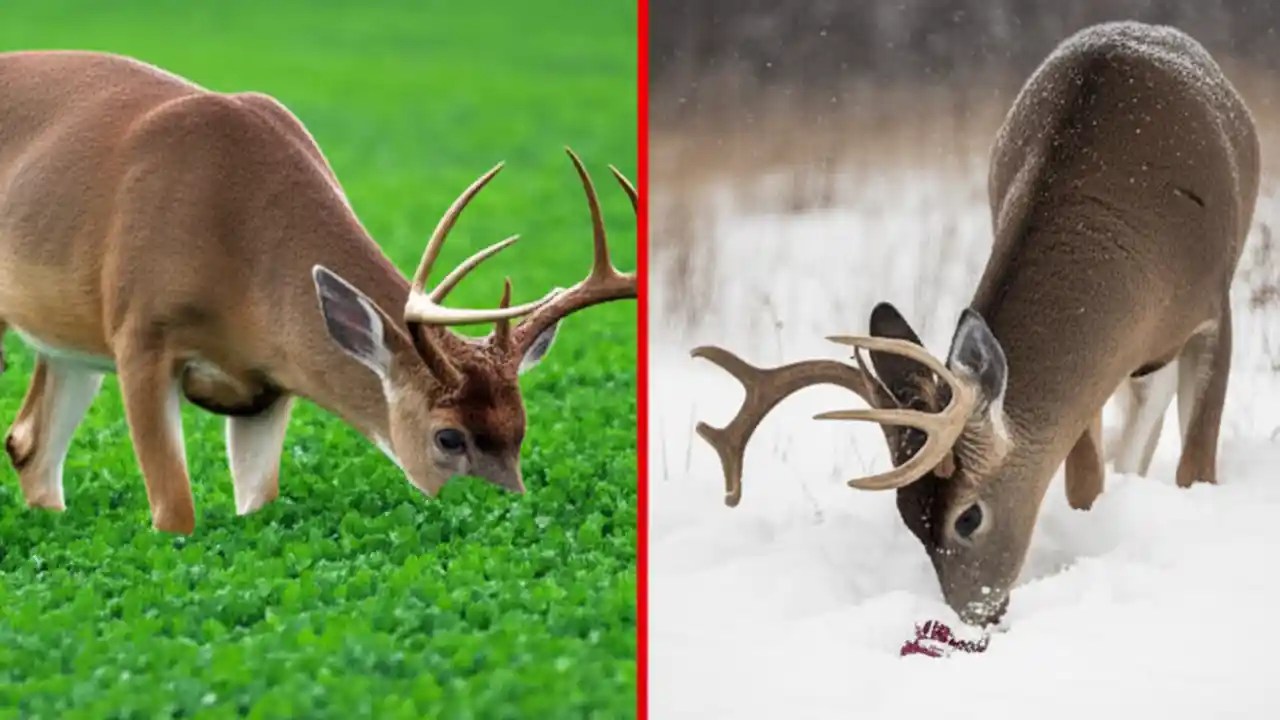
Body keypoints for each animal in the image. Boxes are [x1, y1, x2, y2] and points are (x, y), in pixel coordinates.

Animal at [0, 50, 636, 535]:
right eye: (449, 437)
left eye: (521, 431)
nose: (513, 510)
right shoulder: (141, 336)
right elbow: (175, 515)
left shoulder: (268, 385)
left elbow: (258, 502)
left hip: (70, 343)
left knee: (30, 443)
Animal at [692, 21, 1259, 626]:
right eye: (908, 518)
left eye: (968, 517)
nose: (977, 615)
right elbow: (1085, 482)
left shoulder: (1214, 308)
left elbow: (1195, 467)